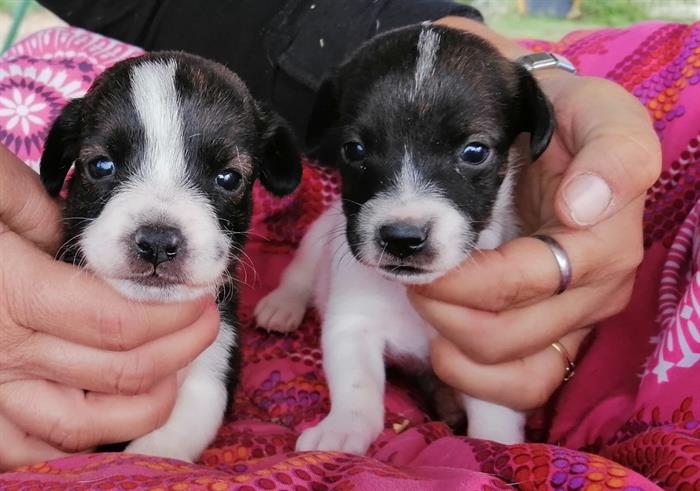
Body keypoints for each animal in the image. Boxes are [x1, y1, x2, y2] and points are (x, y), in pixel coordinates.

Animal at [39, 52, 300, 464]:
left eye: (229, 178)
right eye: (100, 166)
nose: (158, 242)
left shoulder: (214, 366)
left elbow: (168, 441)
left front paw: (144, 458)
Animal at [254, 24, 556, 454]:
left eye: (475, 151)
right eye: (354, 149)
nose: (402, 238)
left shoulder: (489, 359)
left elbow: (494, 408)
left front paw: (495, 444)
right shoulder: (353, 324)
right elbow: (357, 385)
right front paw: (343, 427)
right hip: (318, 238)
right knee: (299, 274)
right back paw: (282, 306)